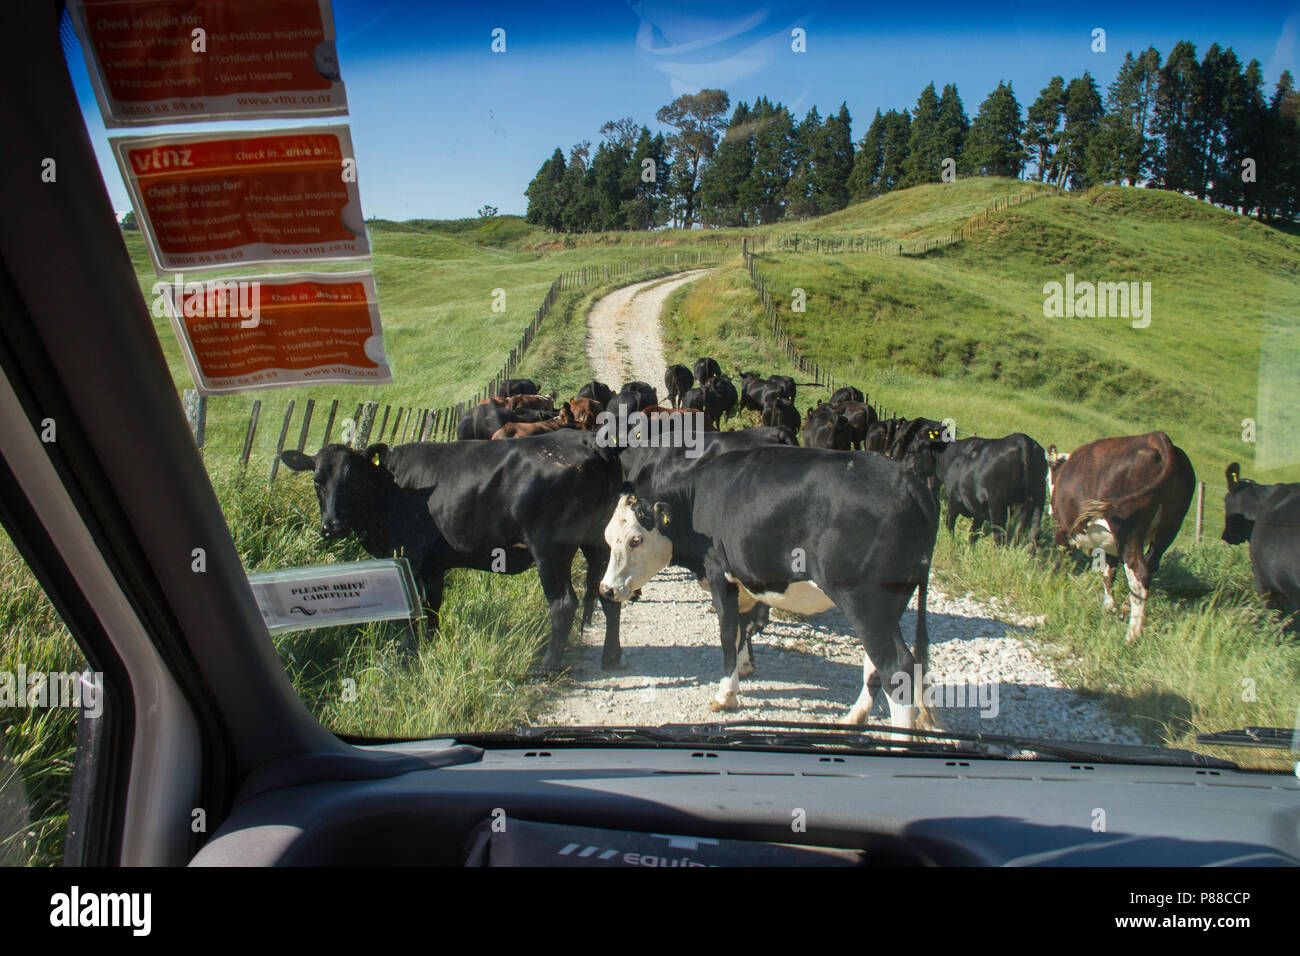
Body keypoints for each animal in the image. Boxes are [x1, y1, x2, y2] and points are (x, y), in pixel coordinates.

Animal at [282, 431, 625, 672]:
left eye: (353, 479)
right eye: (317, 481)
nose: (332, 526)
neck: (389, 489)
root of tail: (590, 442)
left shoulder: (406, 556)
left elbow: (412, 610)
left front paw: (407, 657)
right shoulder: (432, 564)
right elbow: (433, 604)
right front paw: (431, 644)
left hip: (549, 550)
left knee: (563, 604)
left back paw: (547, 667)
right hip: (600, 542)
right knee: (608, 594)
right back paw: (611, 656)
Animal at [600, 445, 938, 726]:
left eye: (635, 540)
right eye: (608, 539)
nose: (606, 589)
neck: (698, 501)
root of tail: (908, 480)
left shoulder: (719, 573)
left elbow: (727, 634)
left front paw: (725, 695)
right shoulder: (743, 582)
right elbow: (742, 630)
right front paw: (742, 671)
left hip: (865, 601)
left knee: (897, 666)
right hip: (888, 606)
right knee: (877, 663)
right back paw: (854, 717)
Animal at [903, 430, 1047, 547]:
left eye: (912, 450)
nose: (903, 467)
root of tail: (1023, 441)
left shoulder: (954, 500)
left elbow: (950, 524)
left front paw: (951, 546)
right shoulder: (979, 511)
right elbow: (973, 534)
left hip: (997, 505)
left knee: (1000, 536)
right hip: (1038, 503)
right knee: (1033, 535)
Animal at [1047, 432, 1195, 643]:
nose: (1049, 510)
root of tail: (1158, 439)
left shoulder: (1062, 527)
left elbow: (1061, 558)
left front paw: (1052, 583)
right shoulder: (1109, 543)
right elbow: (1109, 573)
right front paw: (1109, 606)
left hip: (1128, 529)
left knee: (1139, 573)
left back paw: (1132, 635)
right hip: (1169, 528)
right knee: (1150, 566)